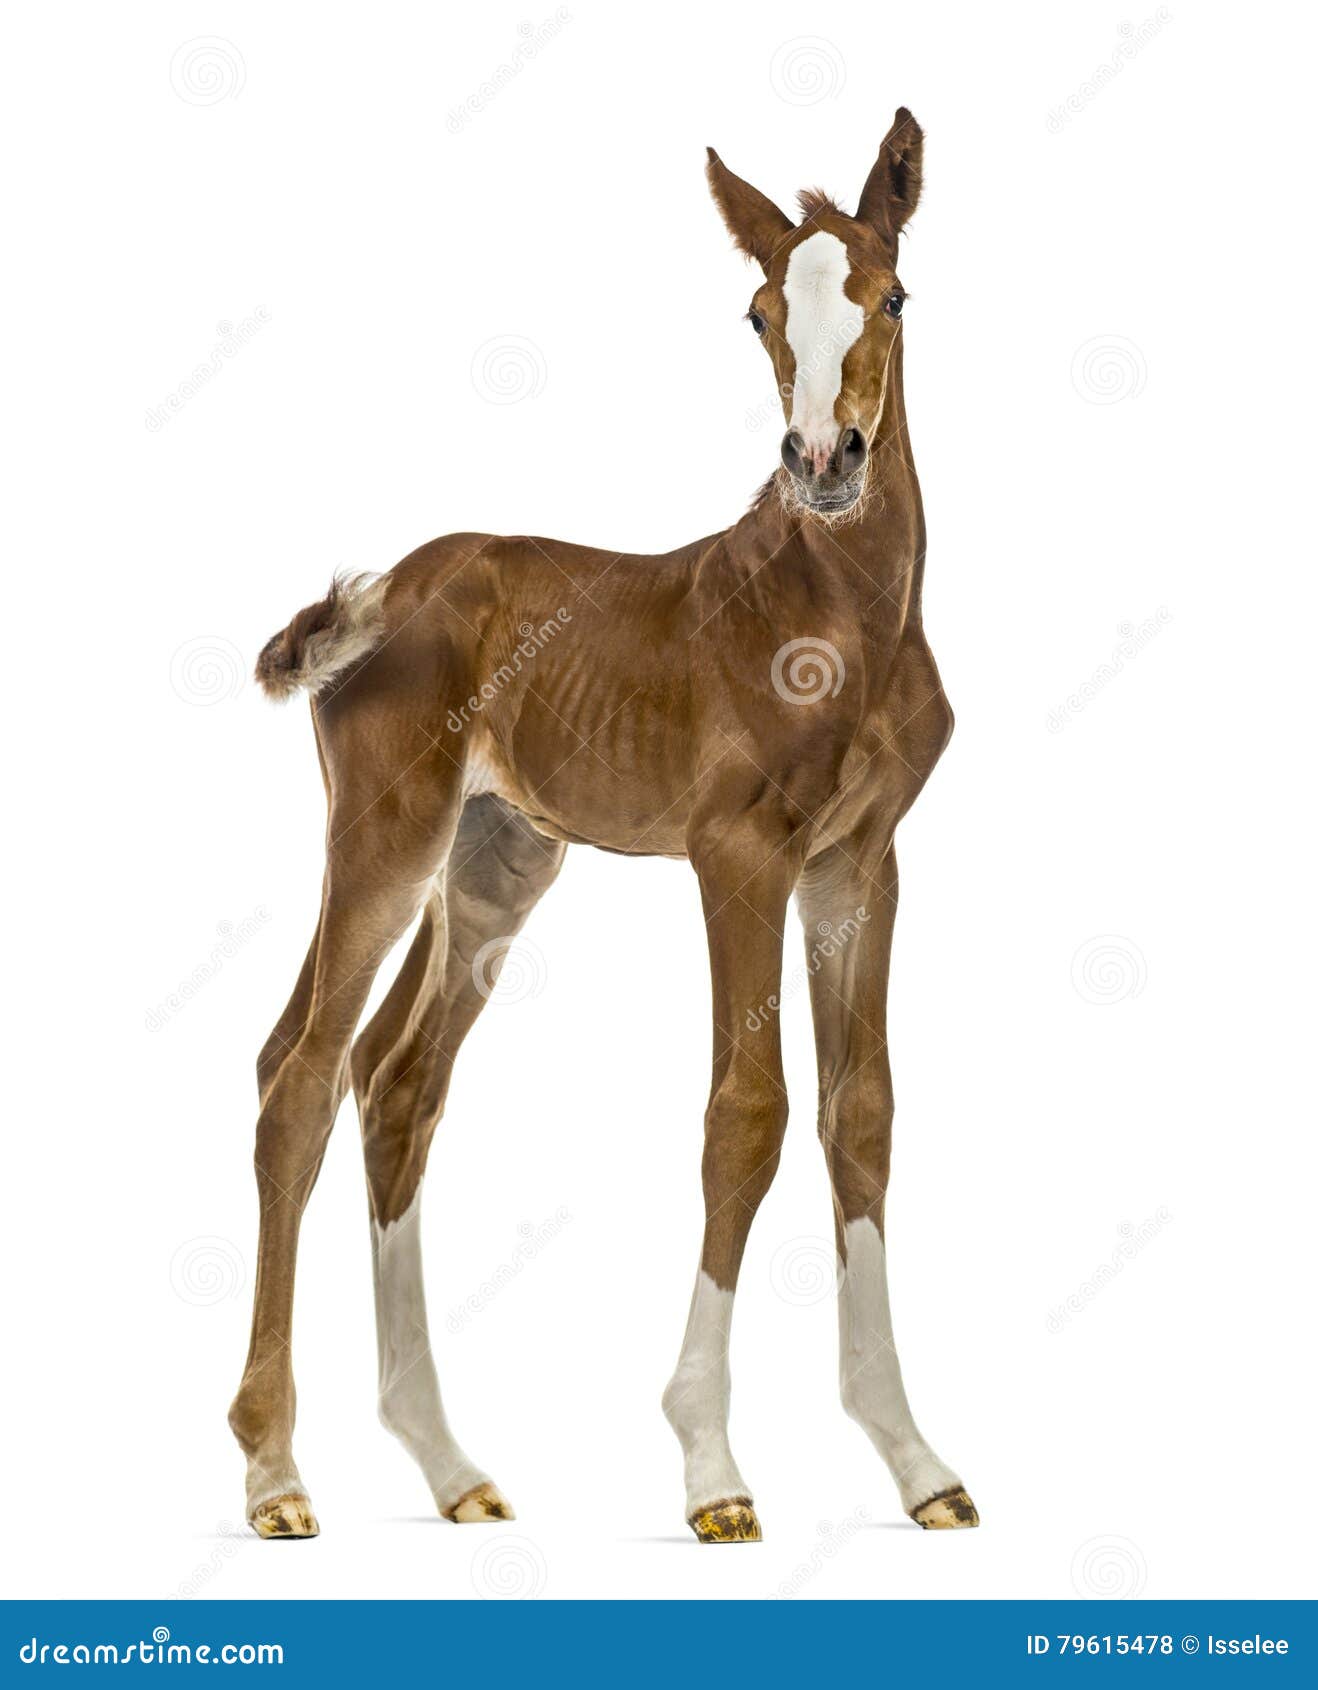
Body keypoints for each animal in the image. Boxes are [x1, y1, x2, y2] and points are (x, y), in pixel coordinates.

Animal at [230, 107, 978, 1545]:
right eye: (758, 311)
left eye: (893, 295)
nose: (825, 464)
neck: (834, 611)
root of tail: (388, 587)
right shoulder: (739, 854)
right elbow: (745, 1112)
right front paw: (713, 1468)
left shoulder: (860, 863)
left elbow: (860, 1113)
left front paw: (916, 1458)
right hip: (388, 837)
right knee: (298, 1072)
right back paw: (275, 1473)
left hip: (495, 861)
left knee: (395, 1082)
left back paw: (448, 1464)